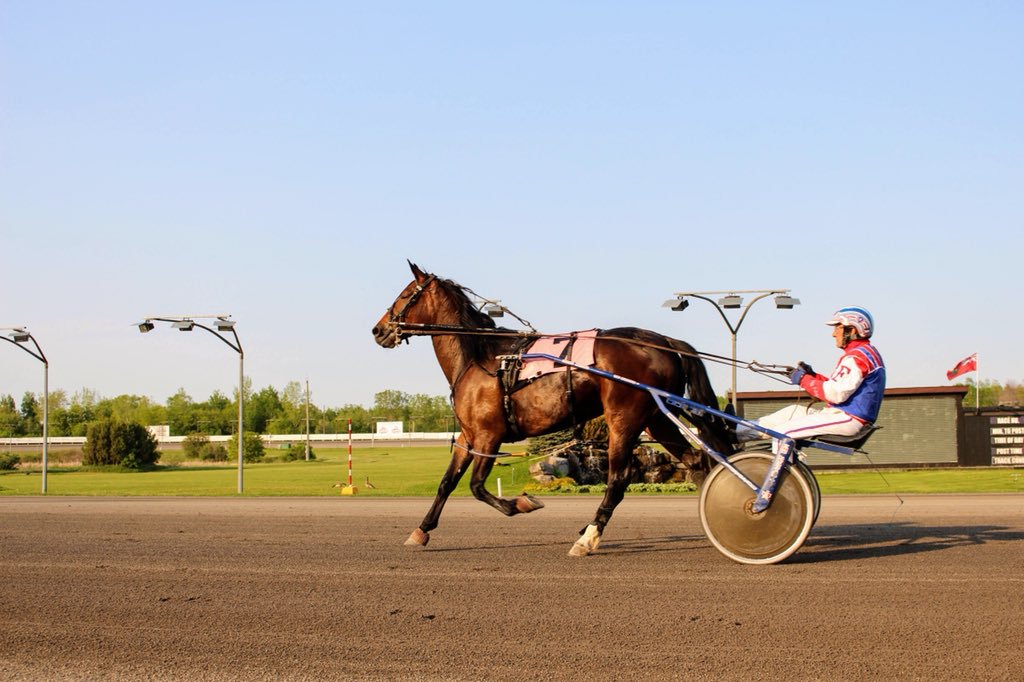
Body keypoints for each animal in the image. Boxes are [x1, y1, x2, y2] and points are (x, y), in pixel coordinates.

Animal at [371, 262, 734, 556]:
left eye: (405, 295)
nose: (379, 329)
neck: (480, 356)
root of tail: (664, 342)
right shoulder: (469, 435)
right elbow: (447, 483)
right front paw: (421, 531)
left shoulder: (490, 435)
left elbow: (476, 486)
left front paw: (523, 502)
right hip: (657, 418)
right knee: (696, 461)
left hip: (624, 418)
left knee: (619, 478)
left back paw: (588, 537)